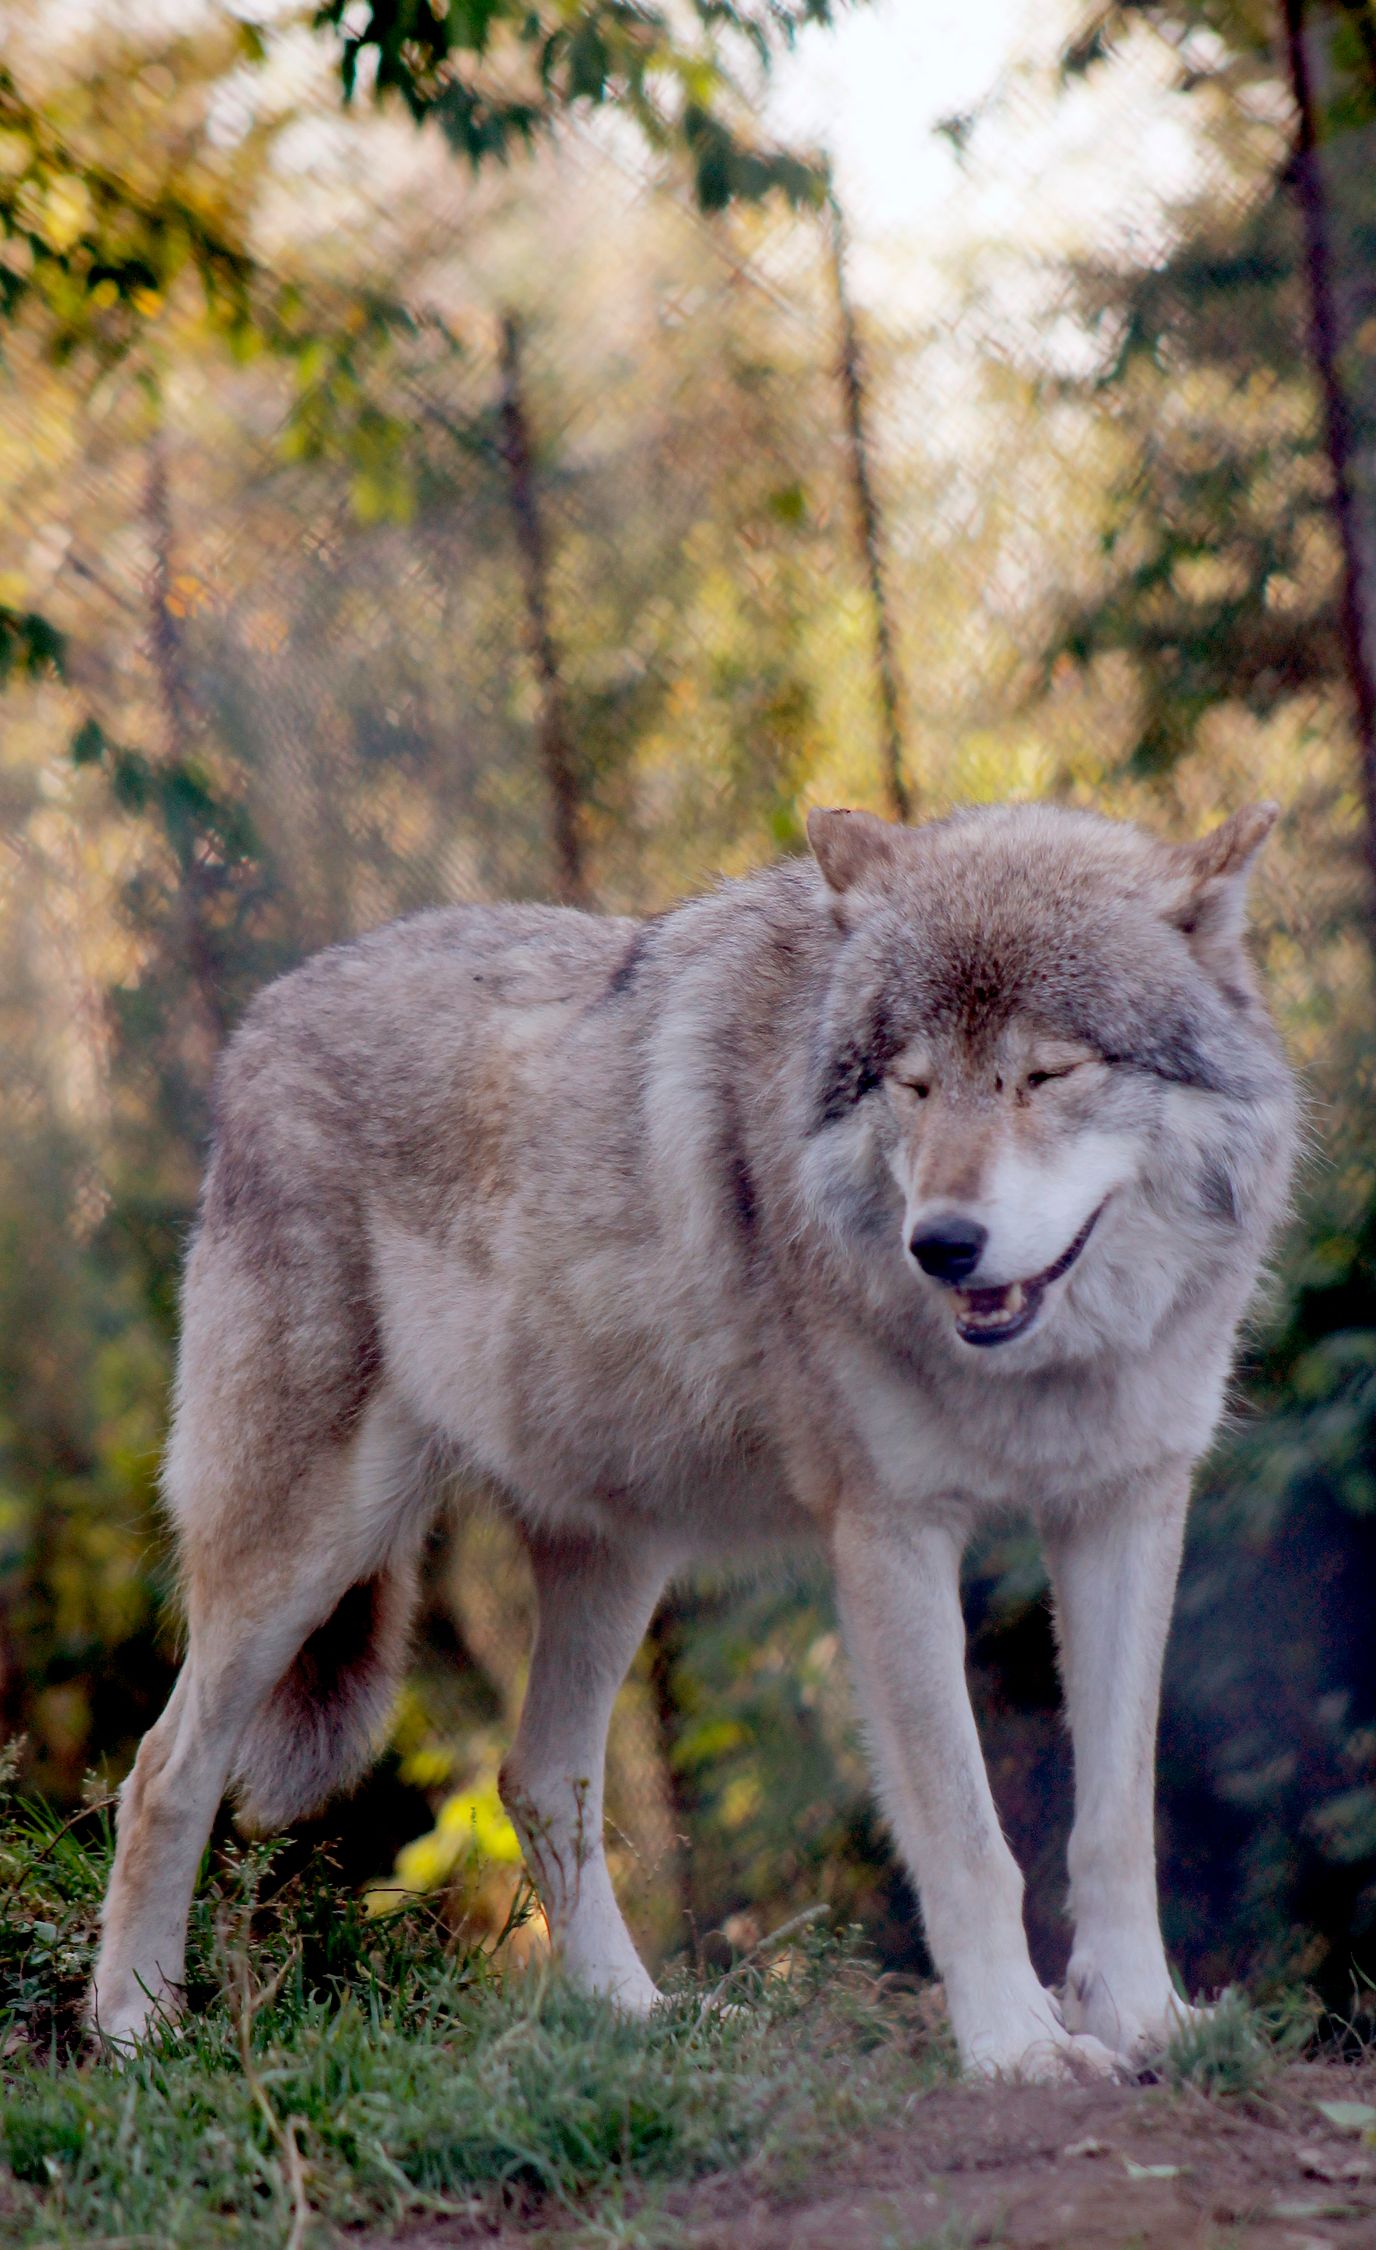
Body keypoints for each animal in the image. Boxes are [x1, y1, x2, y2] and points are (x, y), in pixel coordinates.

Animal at [91, 799, 1296, 2079]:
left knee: (537, 1776)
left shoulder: (1125, 1506)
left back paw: (631, 2015)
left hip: (617, 1557)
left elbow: (1115, 1822)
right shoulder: (890, 1534)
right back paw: (133, 2025)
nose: (940, 1245)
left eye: (1044, 1075)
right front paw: (1018, 2049)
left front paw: (1144, 2020)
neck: (1042, 1373)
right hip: (309, 1550)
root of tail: (255, 1026)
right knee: (163, 1770)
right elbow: (968, 1837)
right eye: (912, 1088)